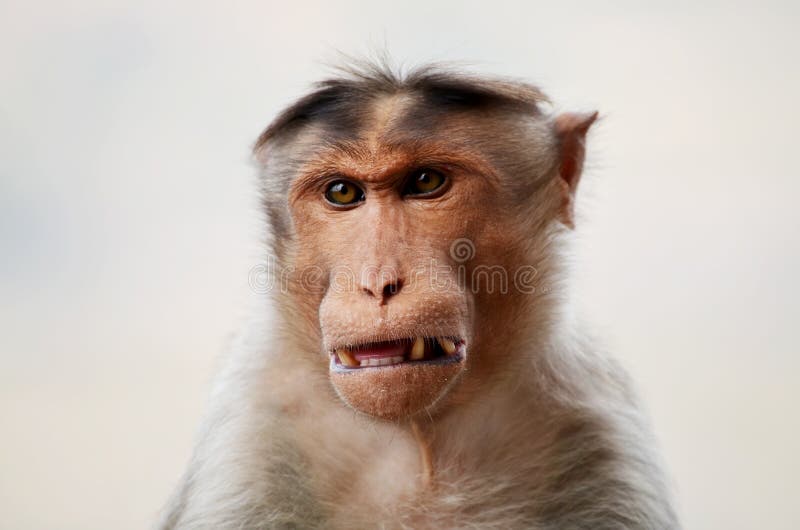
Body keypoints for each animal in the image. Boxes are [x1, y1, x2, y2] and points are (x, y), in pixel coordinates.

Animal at [158, 60, 679, 529]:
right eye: (342, 192)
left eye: (426, 182)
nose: (378, 282)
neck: (420, 441)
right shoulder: (251, 439)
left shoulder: (599, 434)